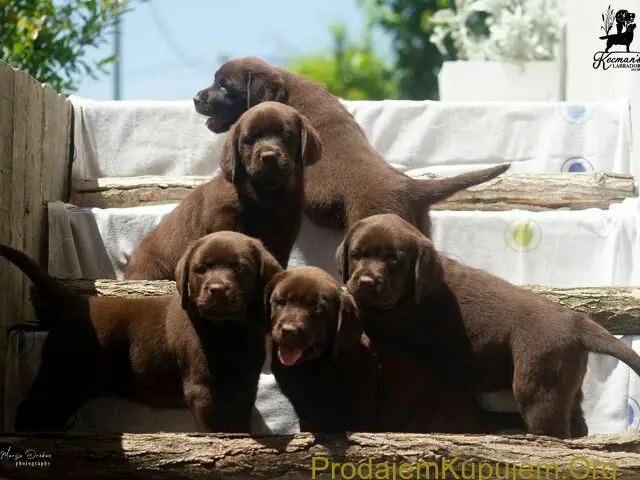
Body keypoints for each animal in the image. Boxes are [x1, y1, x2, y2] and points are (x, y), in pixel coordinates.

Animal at [0, 231, 280, 434]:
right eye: (200, 269)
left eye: (241, 268)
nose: (217, 289)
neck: (229, 331)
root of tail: (76, 301)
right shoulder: (203, 389)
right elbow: (217, 430)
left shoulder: (245, 386)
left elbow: (238, 423)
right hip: (65, 374)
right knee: (30, 410)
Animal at [124, 101, 320, 282]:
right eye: (249, 139)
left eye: (286, 135)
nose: (269, 156)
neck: (268, 192)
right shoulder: (225, 219)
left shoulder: (286, 232)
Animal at [264, 264, 524, 434]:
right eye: (280, 302)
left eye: (318, 309)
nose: (289, 330)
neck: (315, 367)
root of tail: (479, 414)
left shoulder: (358, 407)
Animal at [336, 214, 640, 438]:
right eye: (356, 254)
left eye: (393, 261)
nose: (366, 282)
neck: (415, 288)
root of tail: (577, 322)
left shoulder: (390, 316)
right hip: (564, 377)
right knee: (577, 419)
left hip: (537, 379)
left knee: (550, 426)